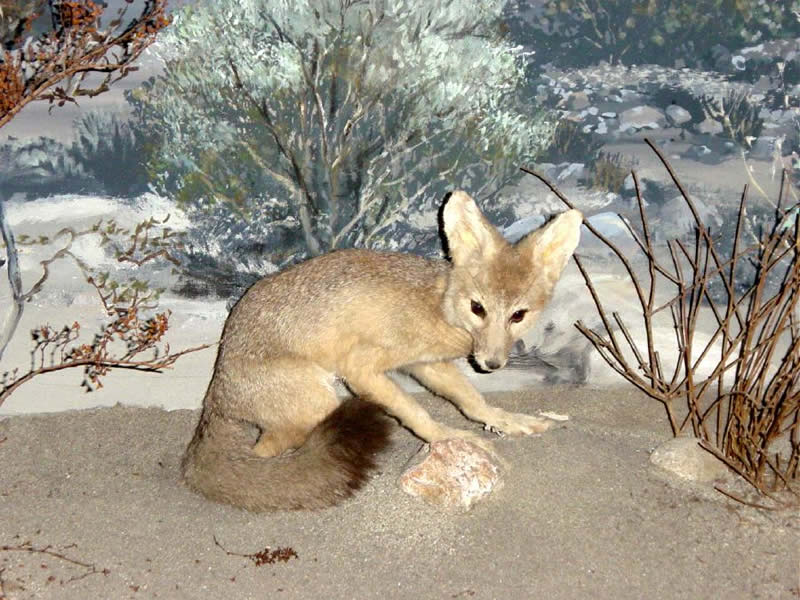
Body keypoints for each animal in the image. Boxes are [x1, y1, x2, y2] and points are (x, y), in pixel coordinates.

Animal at [182, 191, 582, 511]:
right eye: (478, 308)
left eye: (518, 315)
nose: (492, 363)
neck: (435, 305)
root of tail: (215, 394)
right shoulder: (361, 369)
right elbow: (417, 414)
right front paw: (450, 439)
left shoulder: (428, 365)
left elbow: (473, 402)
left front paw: (505, 420)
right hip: (323, 400)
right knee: (268, 457)